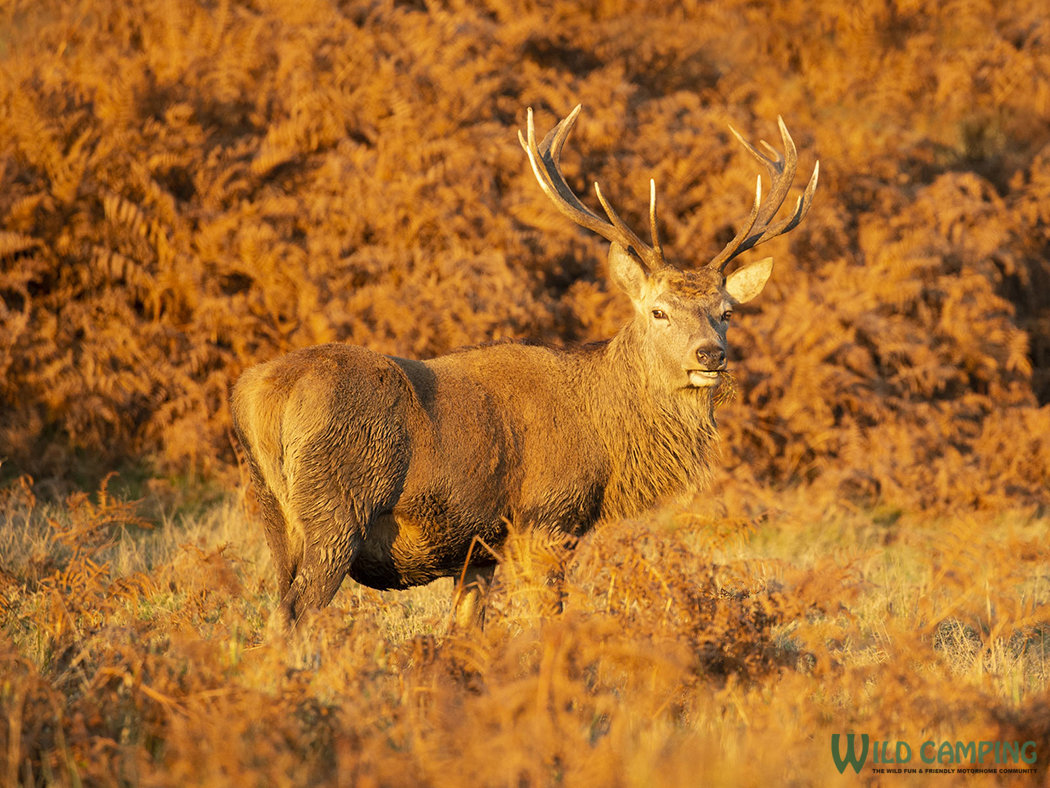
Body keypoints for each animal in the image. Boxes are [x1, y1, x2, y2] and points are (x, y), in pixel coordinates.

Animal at [230, 105, 818, 630]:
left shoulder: (479, 548)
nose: (710, 355)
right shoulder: (548, 517)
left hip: (272, 509)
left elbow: (466, 628)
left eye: (726, 312)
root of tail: (263, 393)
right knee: (294, 611)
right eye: (658, 310)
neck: (606, 435)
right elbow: (544, 619)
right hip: (337, 504)